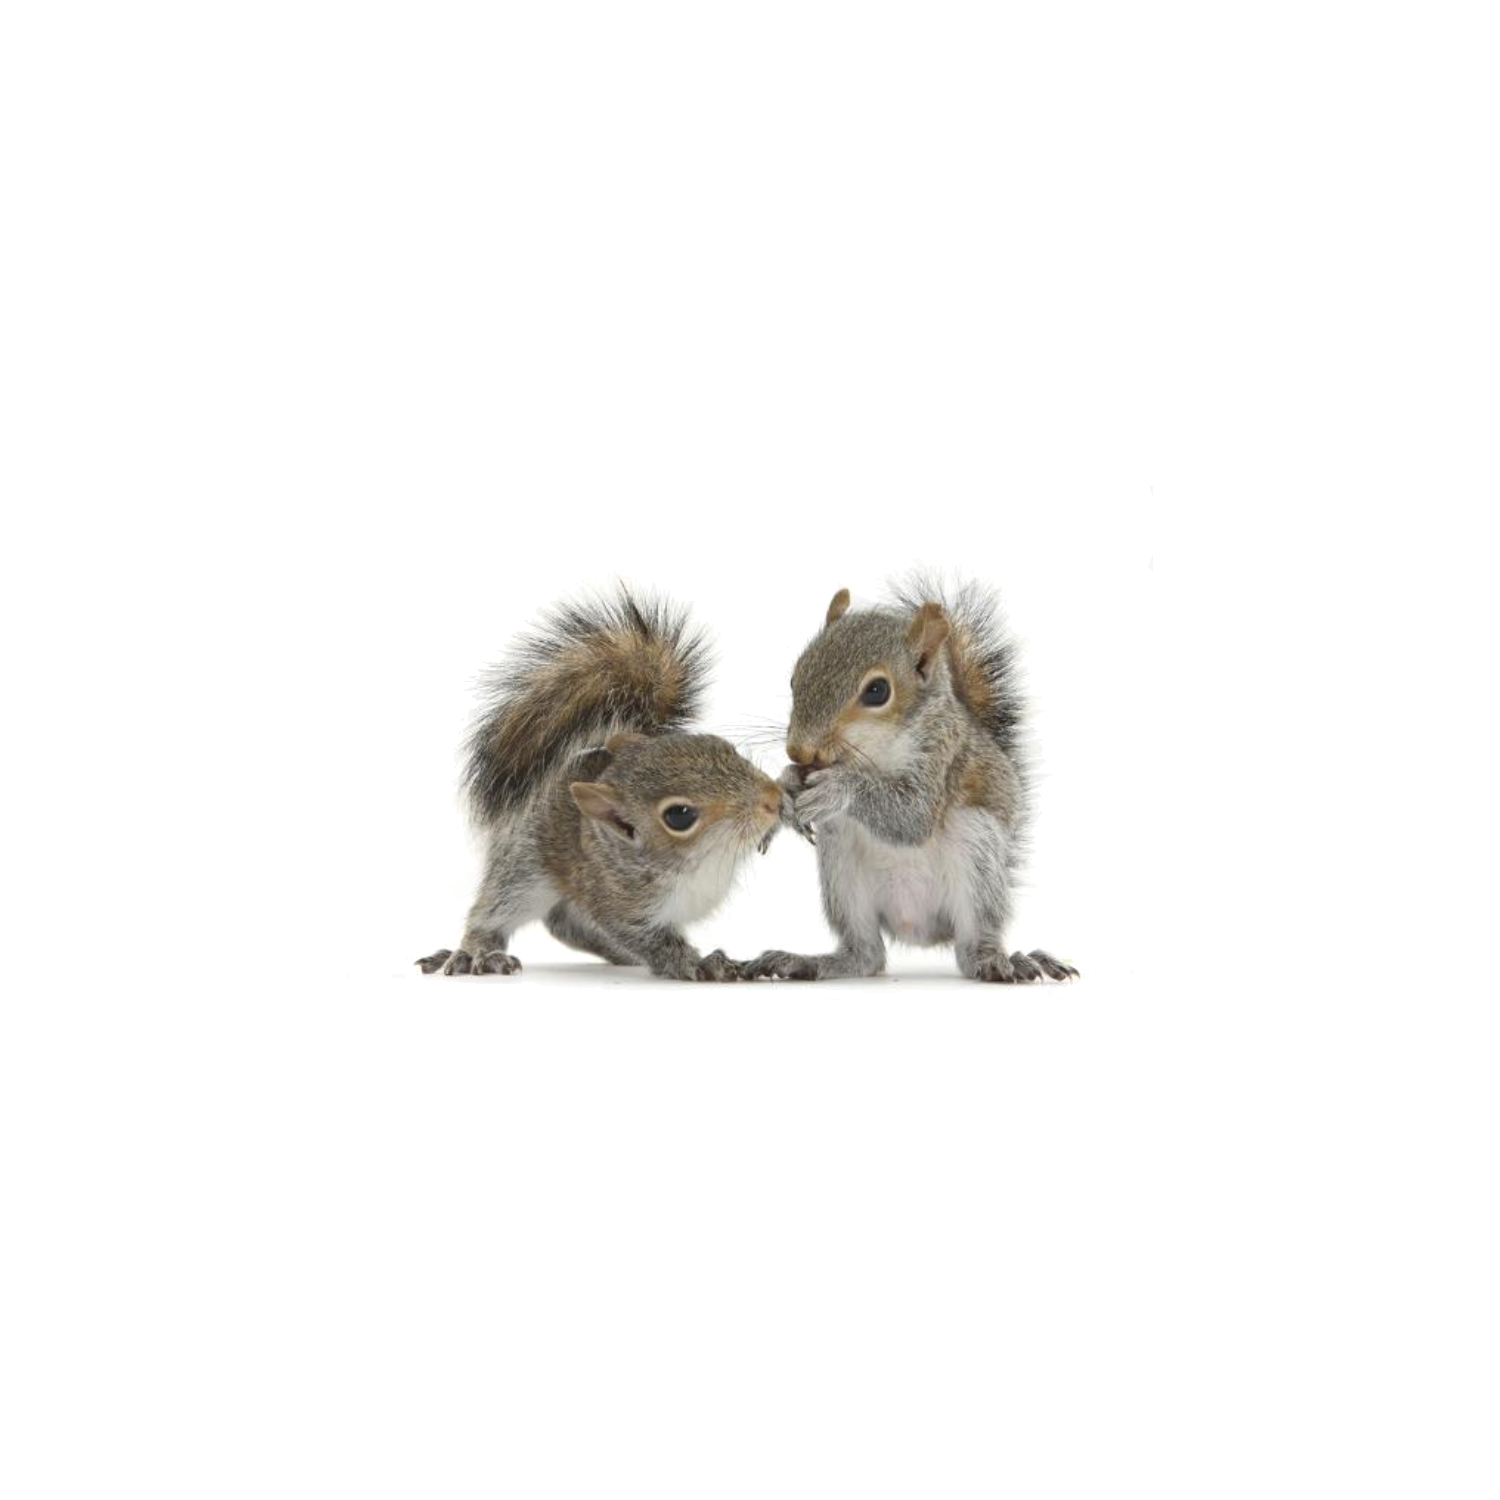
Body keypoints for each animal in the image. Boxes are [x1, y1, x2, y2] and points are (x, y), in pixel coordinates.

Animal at [416, 589, 782, 981]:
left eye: (723, 747)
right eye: (680, 816)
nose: (772, 799)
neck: (699, 862)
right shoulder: (617, 904)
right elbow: (655, 942)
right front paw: (697, 964)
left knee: (567, 923)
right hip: (523, 868)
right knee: (498, 910)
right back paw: (477, 952)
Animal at [743, 577, 1078, 984]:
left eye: (877, 691)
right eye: (795, 678)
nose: (799, 750)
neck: (878, 748)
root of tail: (918, 929)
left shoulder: (942, 757)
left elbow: (912, 816)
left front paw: (837, 788)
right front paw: (787, 785)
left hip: (977, 853)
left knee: (969, 948)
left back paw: (1001, 962)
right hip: (841, 865)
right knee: (866, 955)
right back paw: (807, 962)